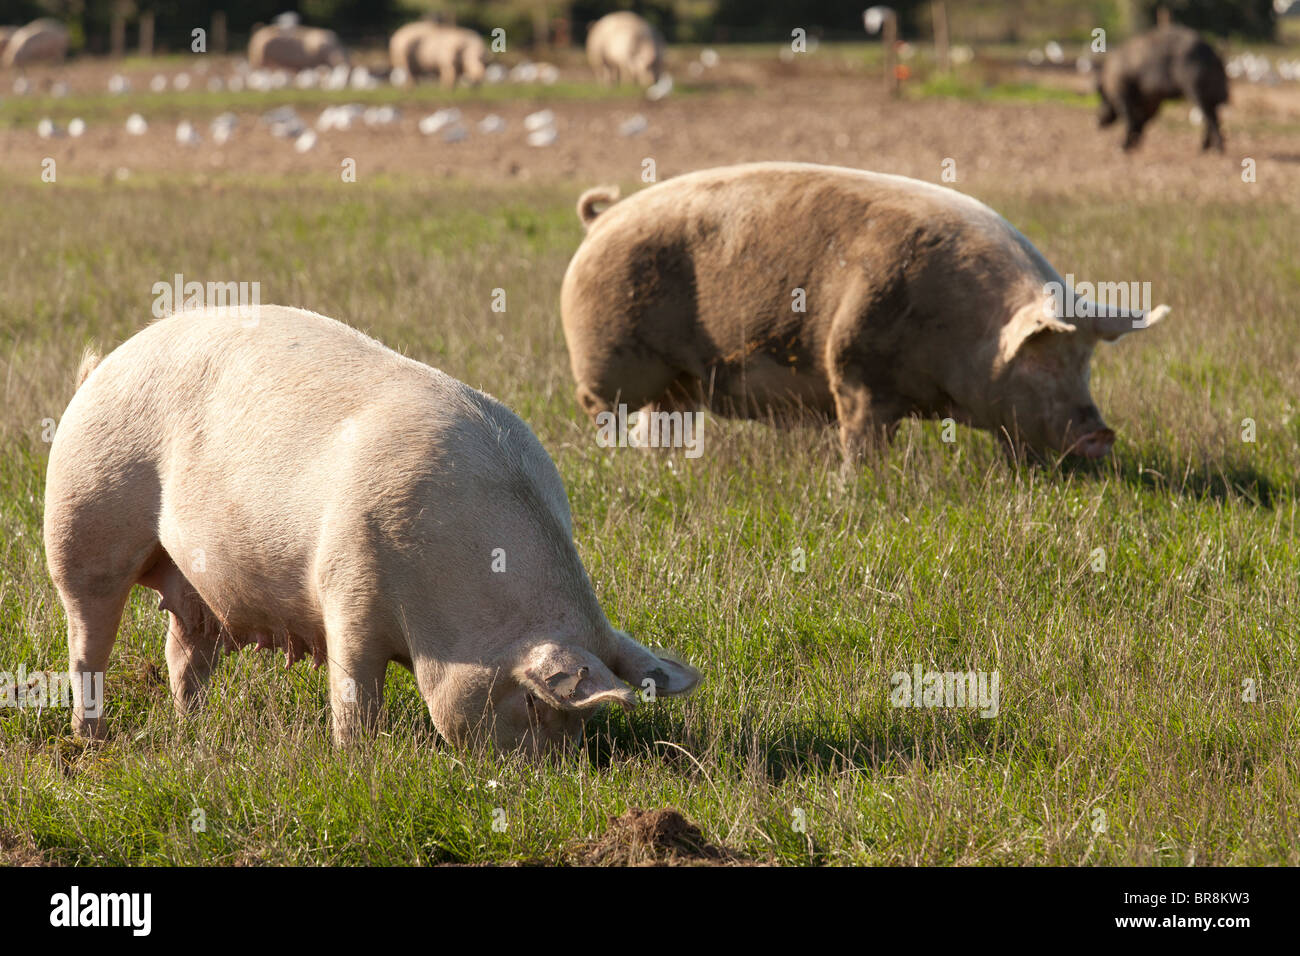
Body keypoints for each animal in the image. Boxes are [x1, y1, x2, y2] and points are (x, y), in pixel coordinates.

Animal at [44, 306, 700, 754]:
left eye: (587, 722)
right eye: (537, 706)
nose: (553, 778)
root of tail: (101, 368)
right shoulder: (347, 587)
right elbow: (354, 691)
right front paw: (353, 759)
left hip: (195, 582)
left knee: (184, 653)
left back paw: (192, 734)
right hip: (80, 523)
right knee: (87, 644)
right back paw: (88, 741)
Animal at [561, 162, 1170, 462]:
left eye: (1085, 363)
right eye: (1040, 358)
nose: (1101, 433)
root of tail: (600, 220)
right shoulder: (853, 367)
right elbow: (860, 439)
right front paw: (852, 489)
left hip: (676, 386)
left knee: (660, 422)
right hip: (606, 361)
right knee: (603, 412)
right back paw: (616, 464)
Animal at [1096, 25, 1227, 152]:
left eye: (1102, 96)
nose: (1098, 121)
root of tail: (1215, 55)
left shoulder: (1122, 92)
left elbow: (1130, 119)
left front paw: (1122, 147)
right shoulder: (1152, 101)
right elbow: (1142, 120)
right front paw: (1133, 147)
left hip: (1195, 88)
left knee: (1210, 117)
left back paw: (1214, 150)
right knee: (1214, 117)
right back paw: (1205, 148)